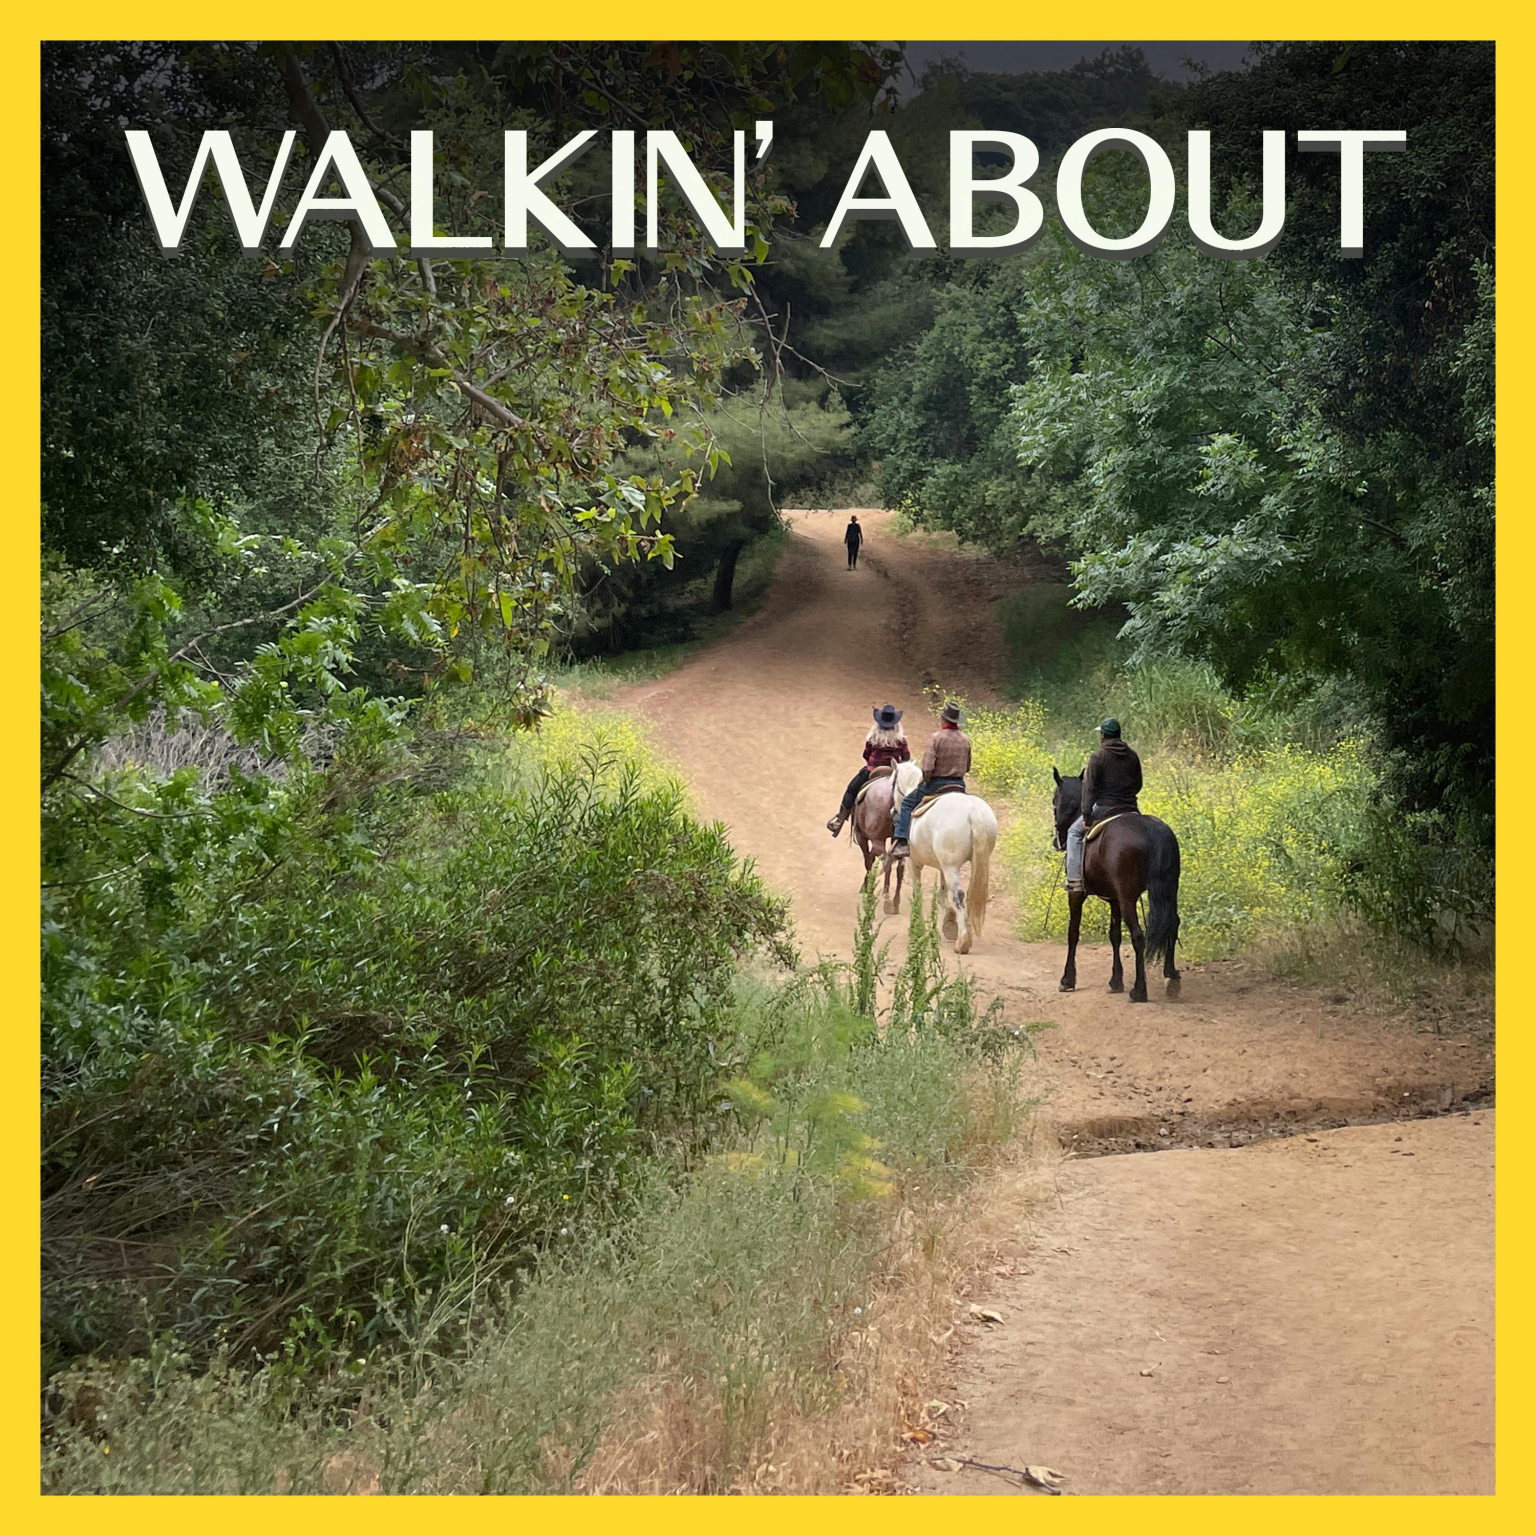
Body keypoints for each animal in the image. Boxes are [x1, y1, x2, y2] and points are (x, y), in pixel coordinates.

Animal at [849, 767, 907, 916]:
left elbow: (868, 860)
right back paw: (894, 902)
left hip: (875, 839)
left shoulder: (862, 836)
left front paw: (867, 885)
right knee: (899, 865)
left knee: (886, 860)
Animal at [885, 760, 998, 954]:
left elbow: (918, 891)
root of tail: (973, 813)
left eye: (892, 783)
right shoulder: (942, 866)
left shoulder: (913, 863)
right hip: (971, 862)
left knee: (959, 894)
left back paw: (963, 942)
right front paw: (950, 923)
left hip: (950, 866)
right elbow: (942, 892)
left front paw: (918, 926)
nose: (892, 811)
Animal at [1050, 768, 1182, 1002]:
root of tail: (1152, 830)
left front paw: (1067, 980)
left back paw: (1139, 991)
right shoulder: (1114, 899)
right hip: (1168, 891)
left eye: (1054, 800)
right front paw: (1116, 980)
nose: (1057, 841)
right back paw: (1171, 977)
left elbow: (1073, 932)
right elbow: (1115, 935)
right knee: (1172, 924)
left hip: (1128, 897)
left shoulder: (1077, 895)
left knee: (1138, 935)